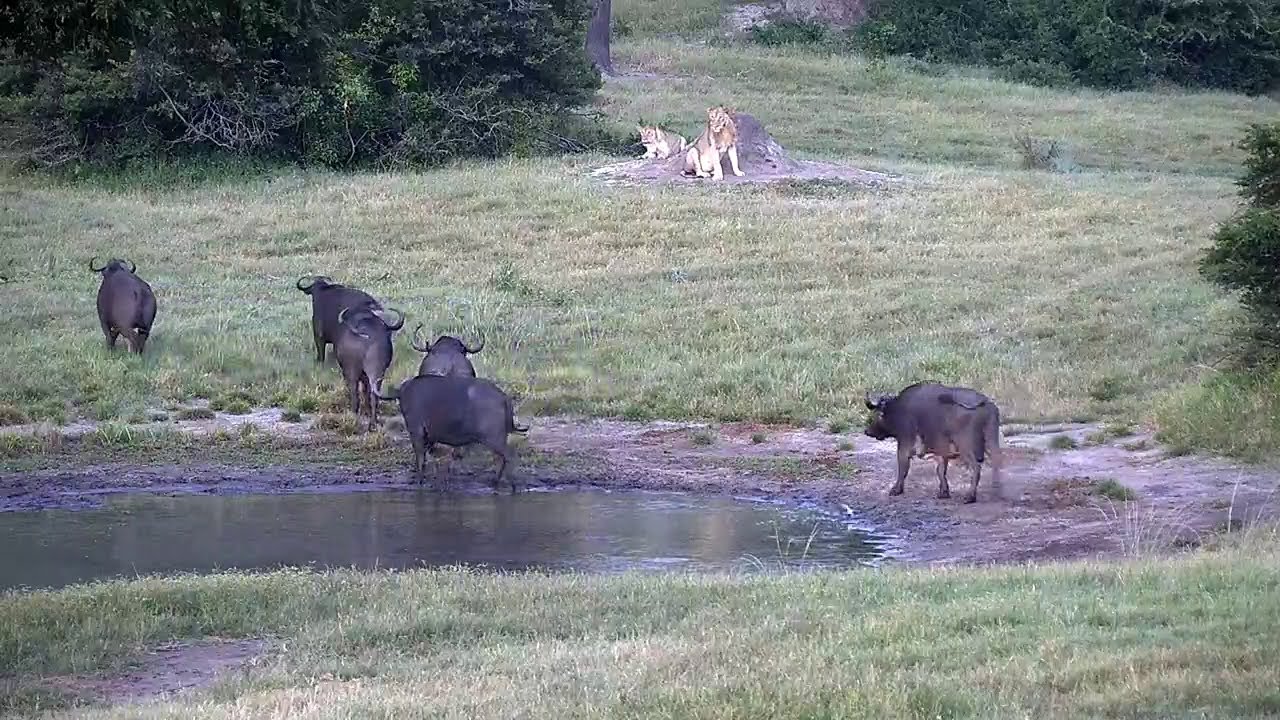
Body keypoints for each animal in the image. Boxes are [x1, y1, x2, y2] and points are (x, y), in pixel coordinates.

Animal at [381, 374, 529, 491]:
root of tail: (504, 398)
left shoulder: (417, 432)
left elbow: (420, 460)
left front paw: (420, 481)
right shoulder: (429, 438)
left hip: (493, 438)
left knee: (508, 456)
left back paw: (512, 485)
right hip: (497, 438)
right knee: (500, 459)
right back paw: (495, 482)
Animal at [863, 382, 1002, 503]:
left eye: (878, 414)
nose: (867, 431)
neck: (898, 409)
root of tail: (984, 402)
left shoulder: (905, 443)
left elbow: (903, 468)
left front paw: (896, 489)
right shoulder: (941, 448)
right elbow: (940, 470)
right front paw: (944, 492)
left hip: (965, 445)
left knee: (976, 468)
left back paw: (970, 496)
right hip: (991, 438)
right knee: (996, 461)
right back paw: (996, 489)